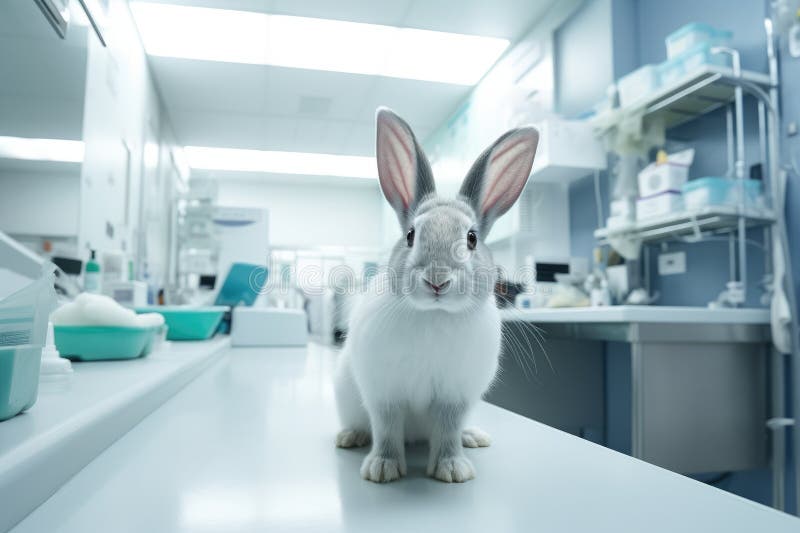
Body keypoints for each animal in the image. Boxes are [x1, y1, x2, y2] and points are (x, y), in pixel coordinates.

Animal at [334, 107, 539, 483]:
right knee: (366, 426)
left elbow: (448, 430)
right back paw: (350, 436)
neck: (434, 314)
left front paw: (453, 470)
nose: (437, 280)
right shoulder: (384, 393)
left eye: (472, 238)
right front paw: (382, 469)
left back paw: (474, 437)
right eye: (411, 235)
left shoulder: (454, 397)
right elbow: (386, 428)